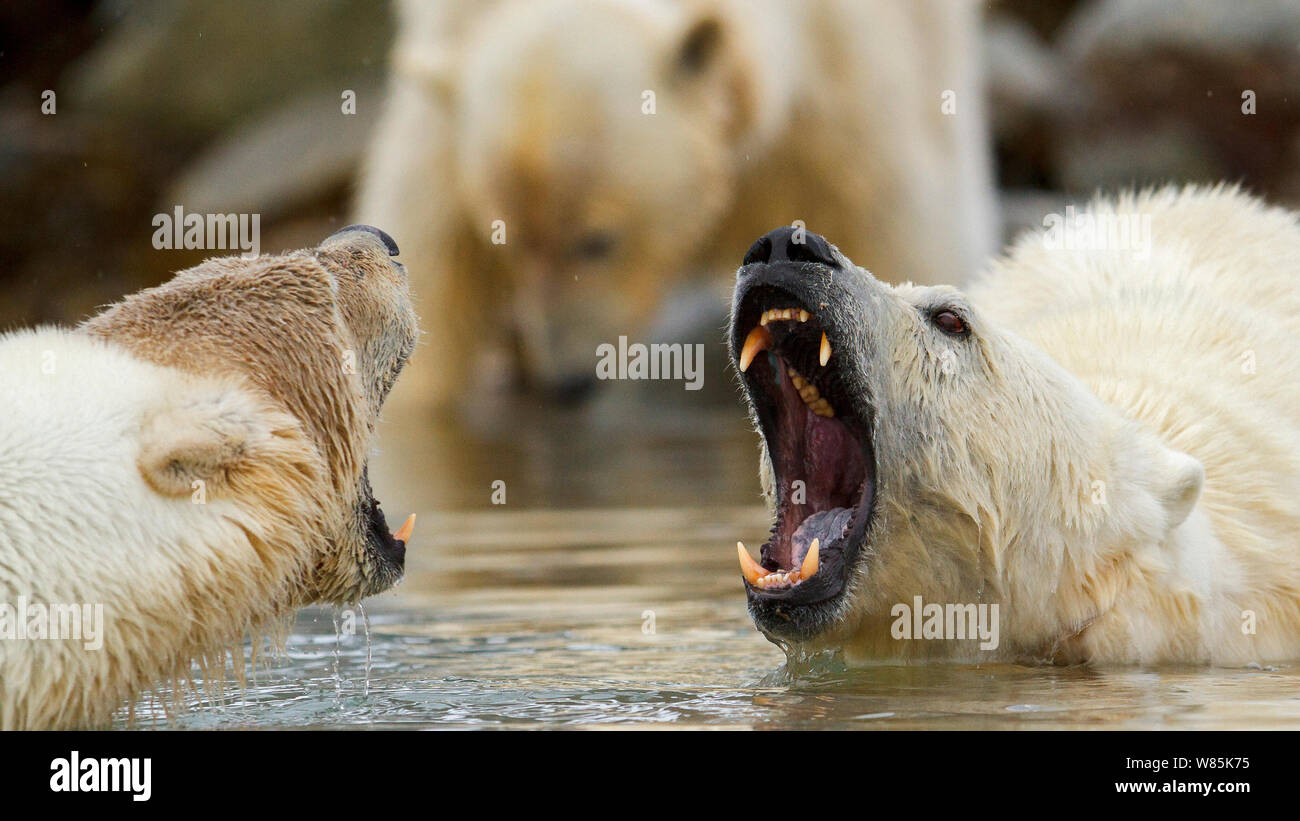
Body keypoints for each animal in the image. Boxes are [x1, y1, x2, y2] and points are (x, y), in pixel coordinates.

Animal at [356, 0, 996, 407]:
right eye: (507, 240)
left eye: (598, 241)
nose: (566, 381)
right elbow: (433, 259)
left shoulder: (839, 86)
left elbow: (888, 233)